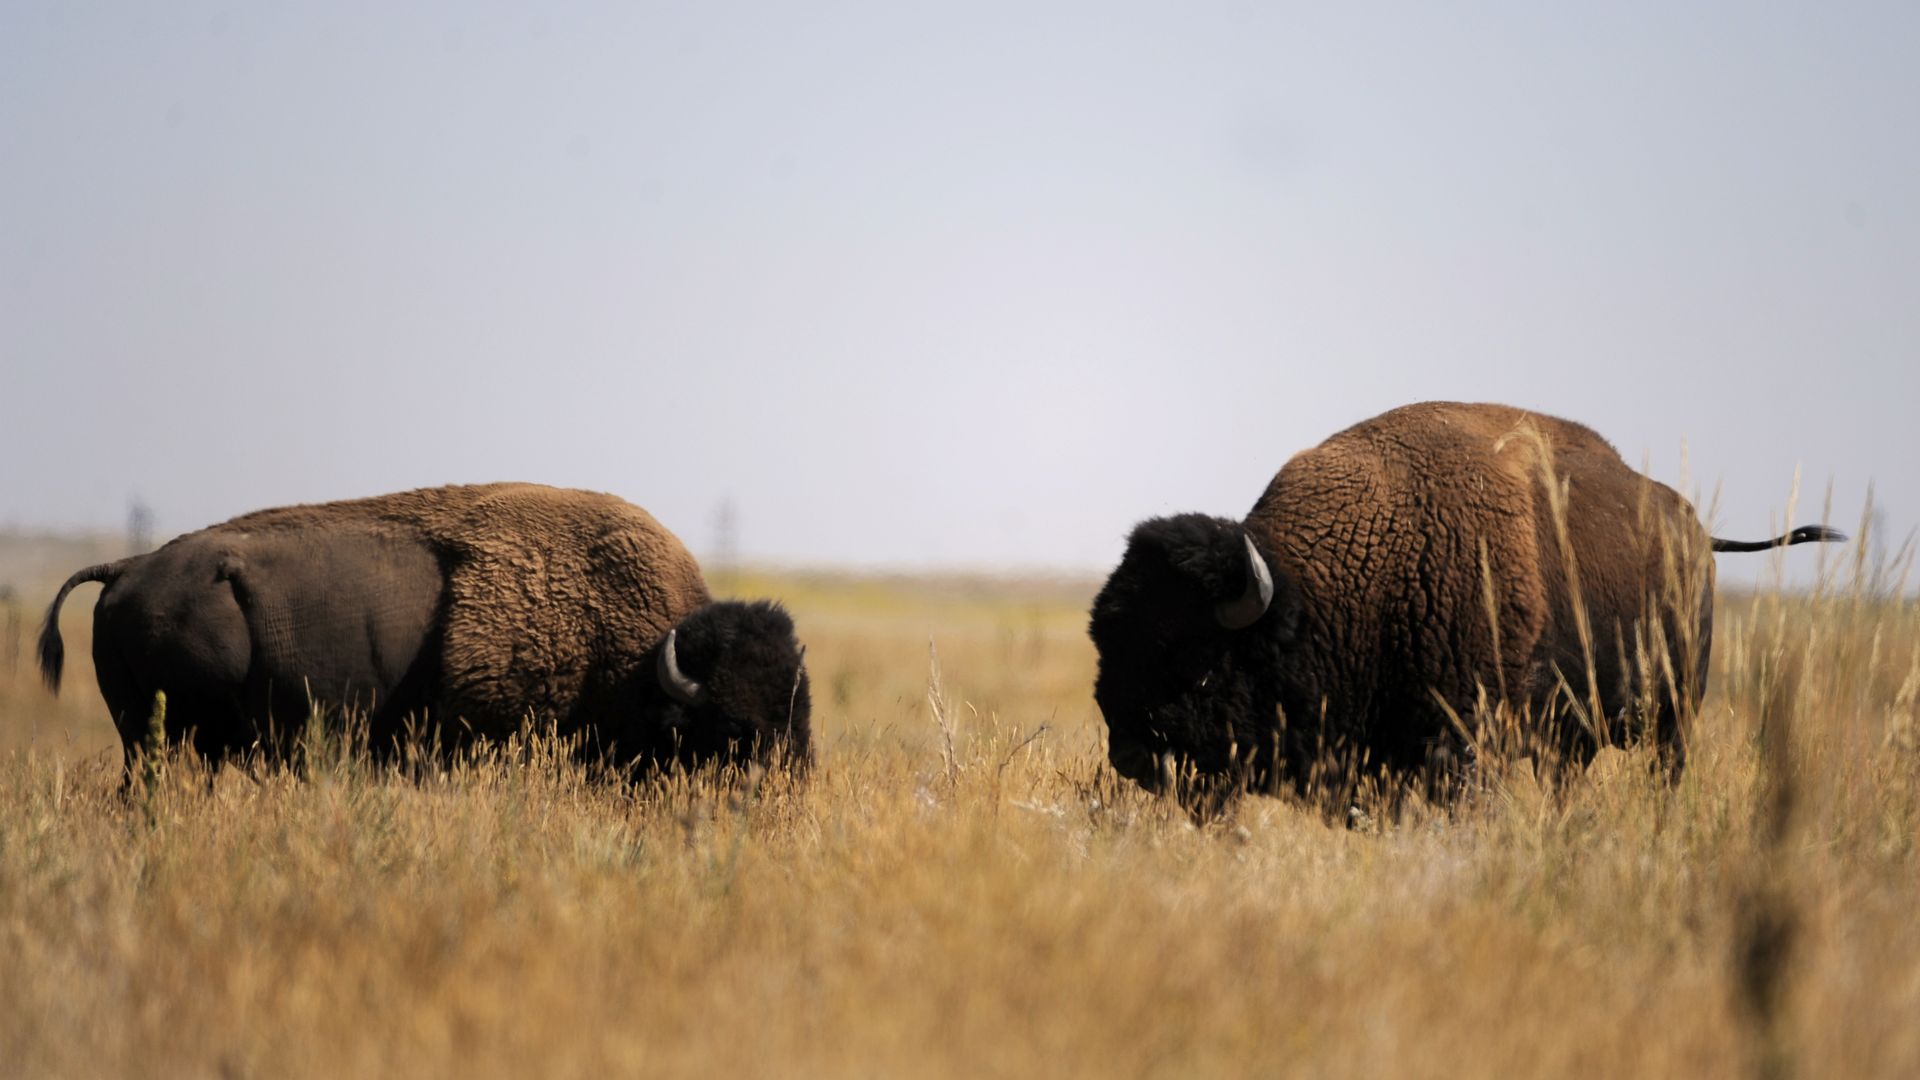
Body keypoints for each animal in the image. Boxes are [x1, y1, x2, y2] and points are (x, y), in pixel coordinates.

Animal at [1089, 402, 1844, 803]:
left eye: (1200, 666)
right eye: (1110, 646)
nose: (1130, 755)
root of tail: (1693, 529)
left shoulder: (1460, 740)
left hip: (1676, 711)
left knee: (1666, 770)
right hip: (1575, 734)